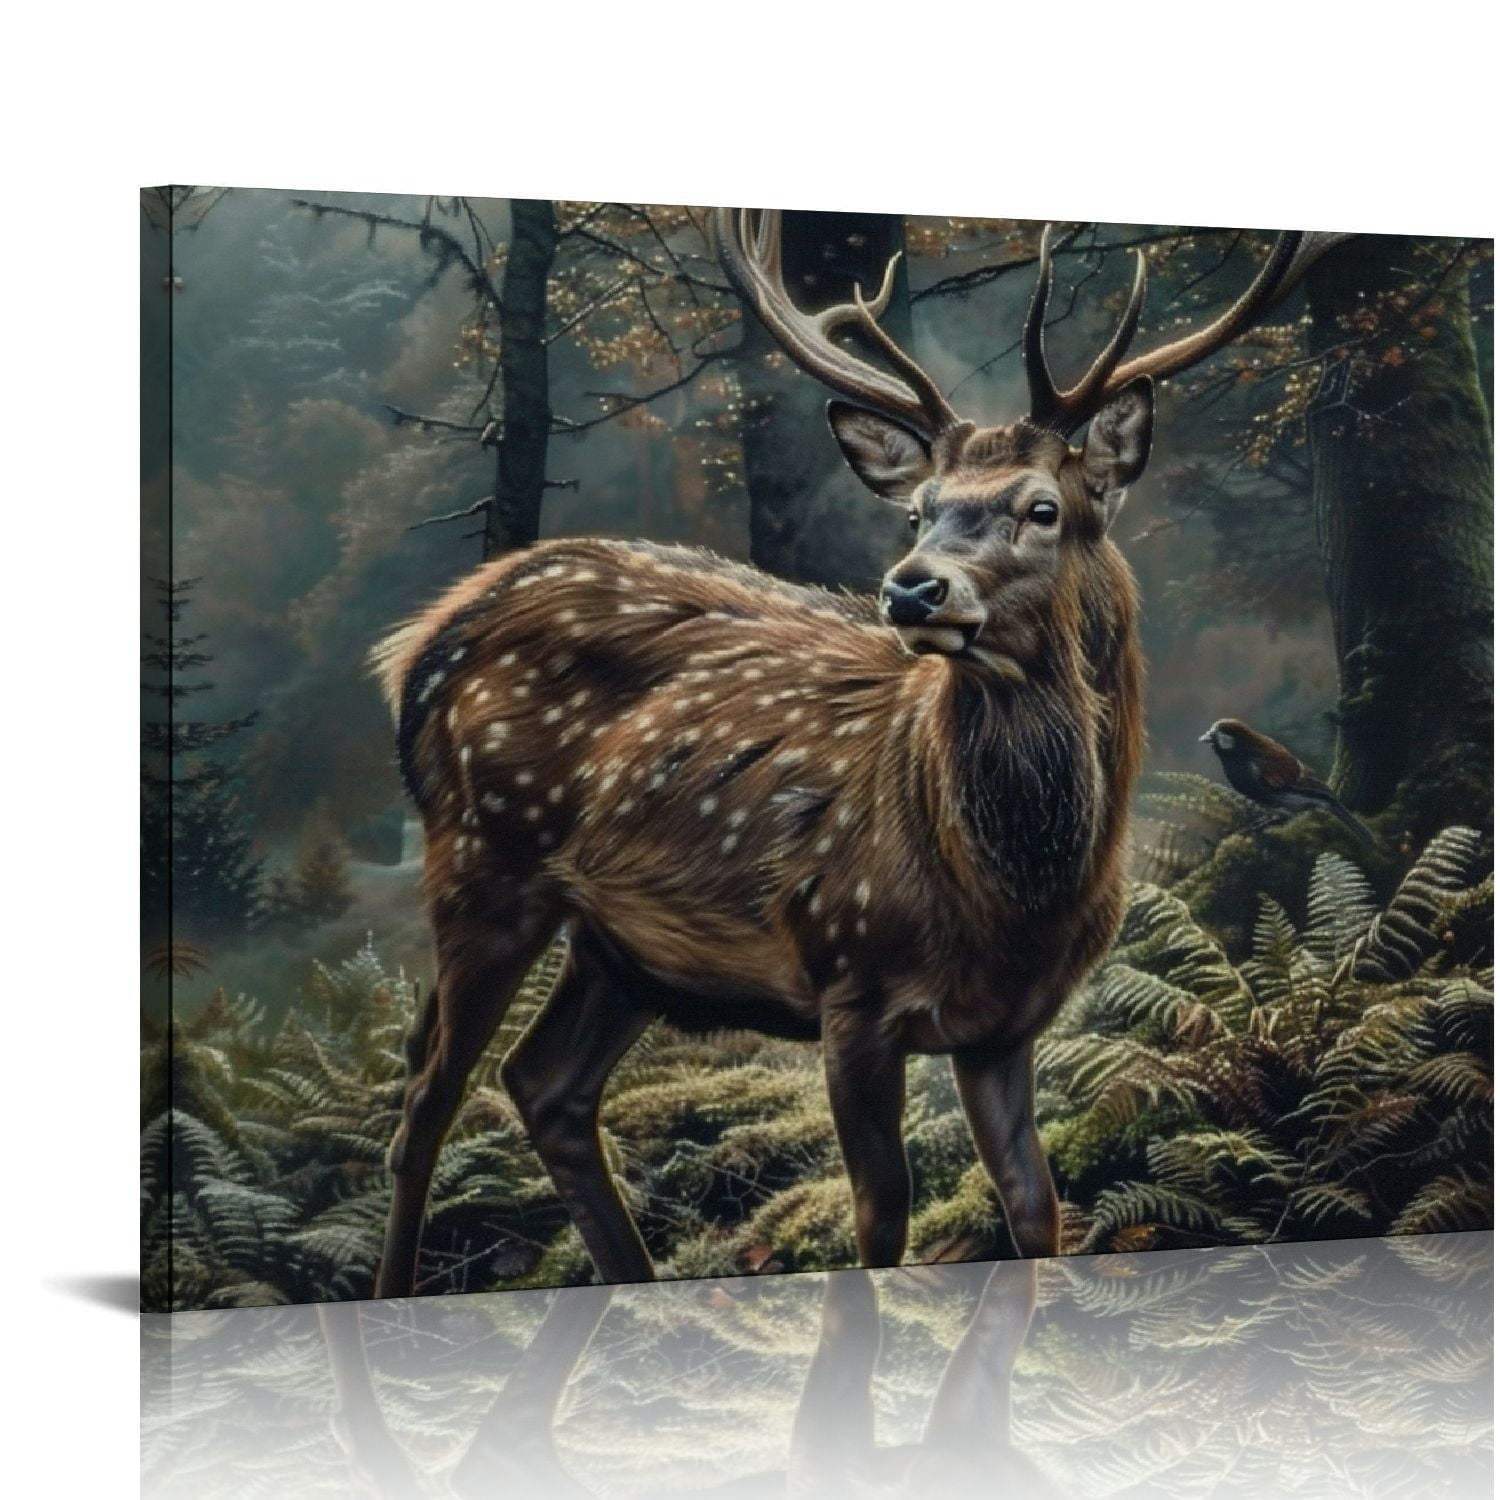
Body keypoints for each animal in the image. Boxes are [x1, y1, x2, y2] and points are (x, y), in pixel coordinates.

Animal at [370, 210, 1347, 1298]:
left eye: (1042, 507)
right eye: (920, 509)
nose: (911, 588)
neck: (1005, 892)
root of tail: (417, 645)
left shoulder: (1005, 1026)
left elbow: (1035, 1210)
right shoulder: (850, 980)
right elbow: (880, 1220)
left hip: (619, 947)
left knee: (543, 1086)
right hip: (483, 860)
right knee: (423, 1101)